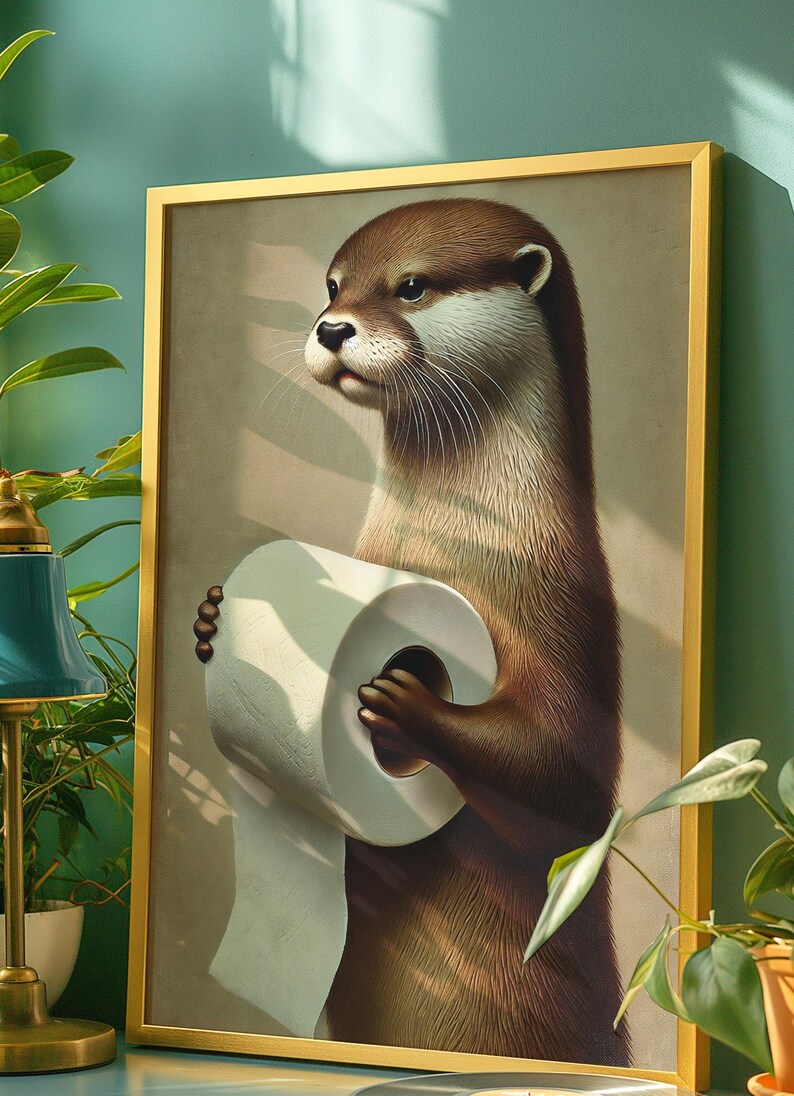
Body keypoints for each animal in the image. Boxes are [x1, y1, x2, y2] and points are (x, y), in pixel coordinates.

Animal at [195, 198, 629, 1066]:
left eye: (412, 286)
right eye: (334, 284)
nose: (332, 328)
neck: (469, 549)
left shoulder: (573, 617)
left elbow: (562, 778)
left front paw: (407, 702)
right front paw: (213, 615)